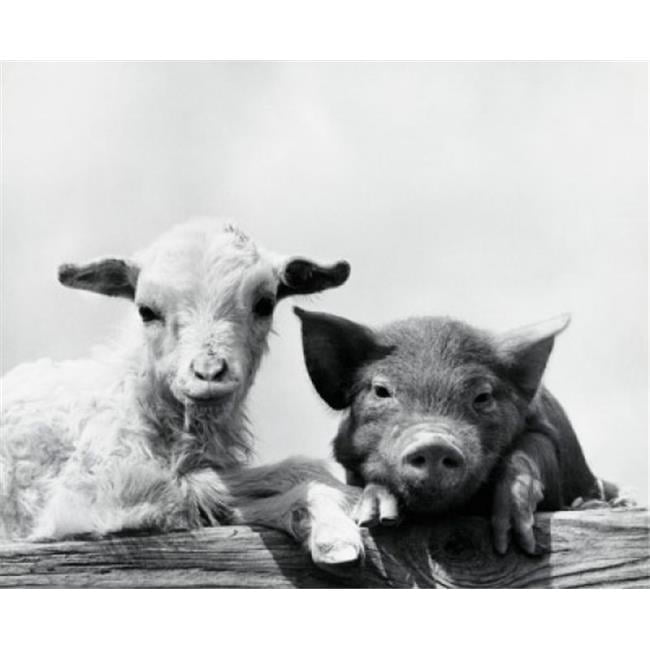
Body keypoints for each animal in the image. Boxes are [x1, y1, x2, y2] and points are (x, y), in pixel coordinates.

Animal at [0, 219, 363, 565]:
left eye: (264, 304)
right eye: (146, 311)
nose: (209, 373)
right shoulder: (94, 495)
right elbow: (213, 492)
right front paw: (333, 526)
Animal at [294, 308, 629, 554]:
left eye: (483, 396)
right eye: (381, 391)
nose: (434, 443)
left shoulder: (545, 431)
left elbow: (530, 453)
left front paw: (511, 536)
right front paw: (375, 517)